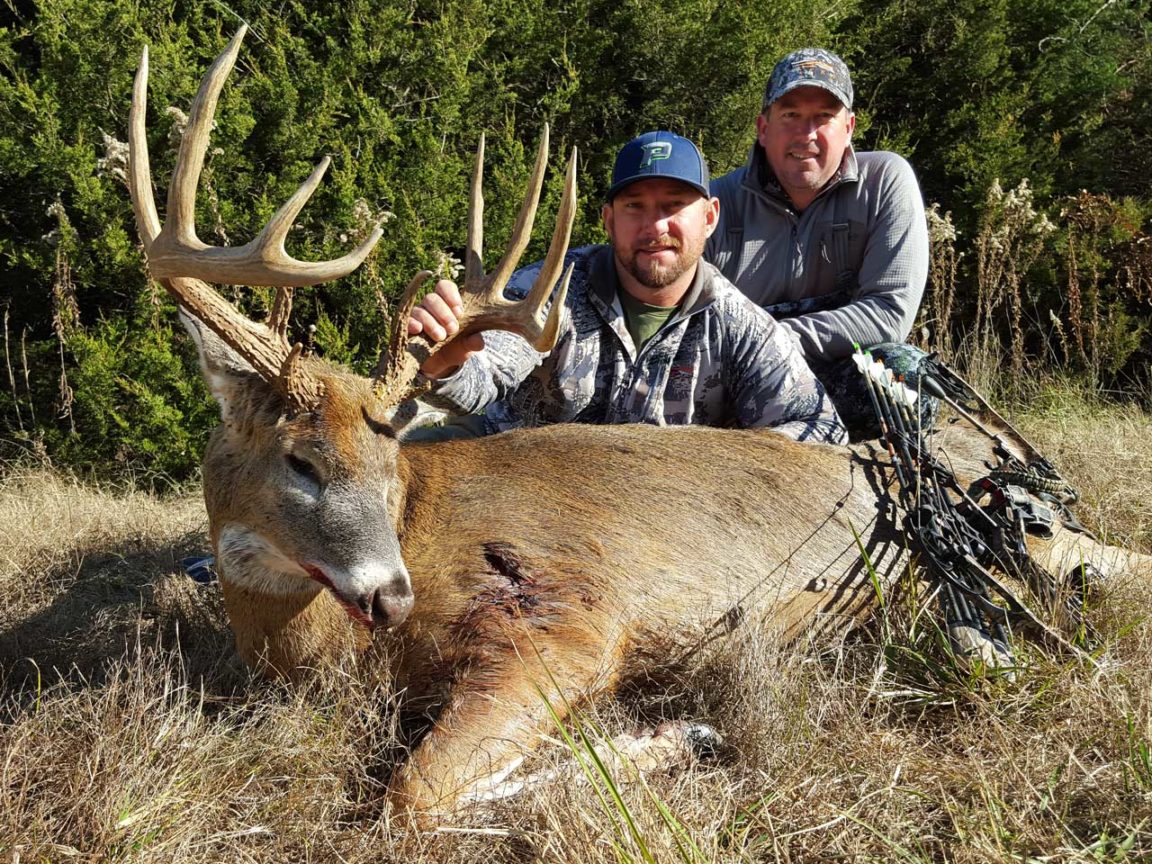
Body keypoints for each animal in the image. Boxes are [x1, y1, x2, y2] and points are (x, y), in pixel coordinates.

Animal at [126, 29, 1152, 824]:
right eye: (299, 460)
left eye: (387, 470)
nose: (389, 595)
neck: (327, 649)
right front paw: (679, 733)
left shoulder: (569, 614)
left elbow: (412, 794)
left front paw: (677, 734)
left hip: (1030, 544)